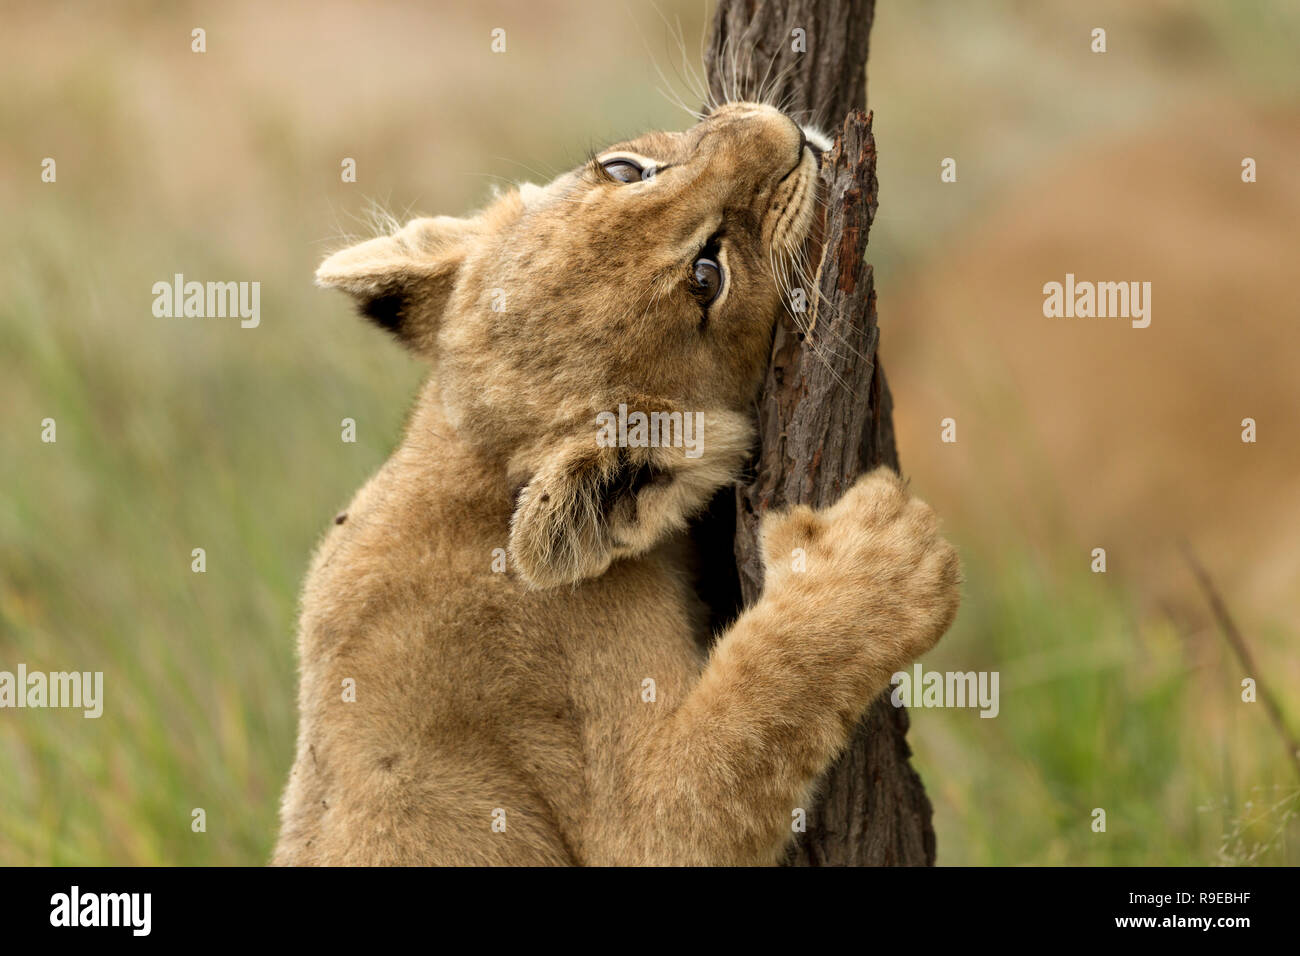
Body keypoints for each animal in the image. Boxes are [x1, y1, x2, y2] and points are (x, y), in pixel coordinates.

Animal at [272, 102, 961, 866]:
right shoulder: (626, 813)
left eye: (626, 171)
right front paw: (880, 562)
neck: (478, 465)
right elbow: (746, 723)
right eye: (705, 275)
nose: (778, 135)